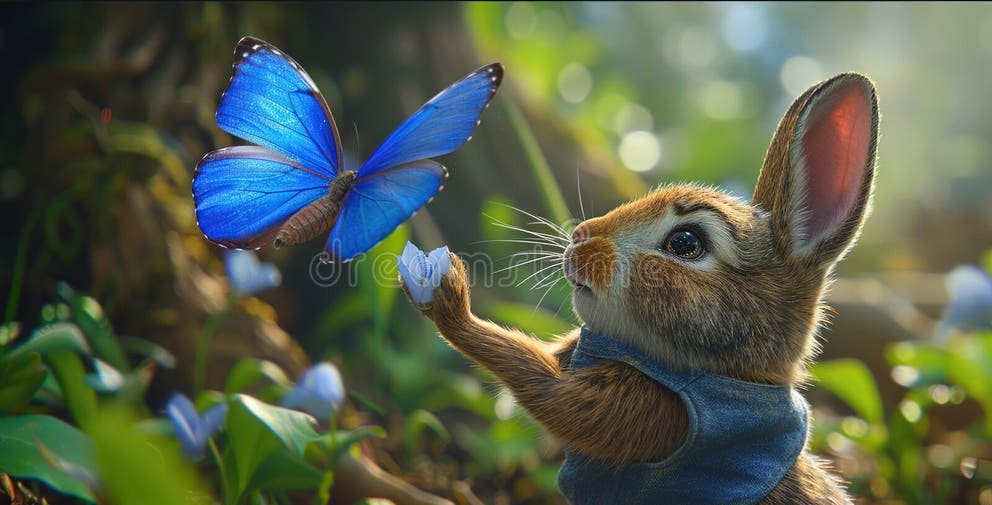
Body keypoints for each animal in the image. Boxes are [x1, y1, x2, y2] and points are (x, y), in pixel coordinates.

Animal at [401, 72, 878, 504]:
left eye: (685, 243)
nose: (581, 238)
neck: (721, 372)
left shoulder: (658, 410)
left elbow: (549, 392)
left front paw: (447, 296)